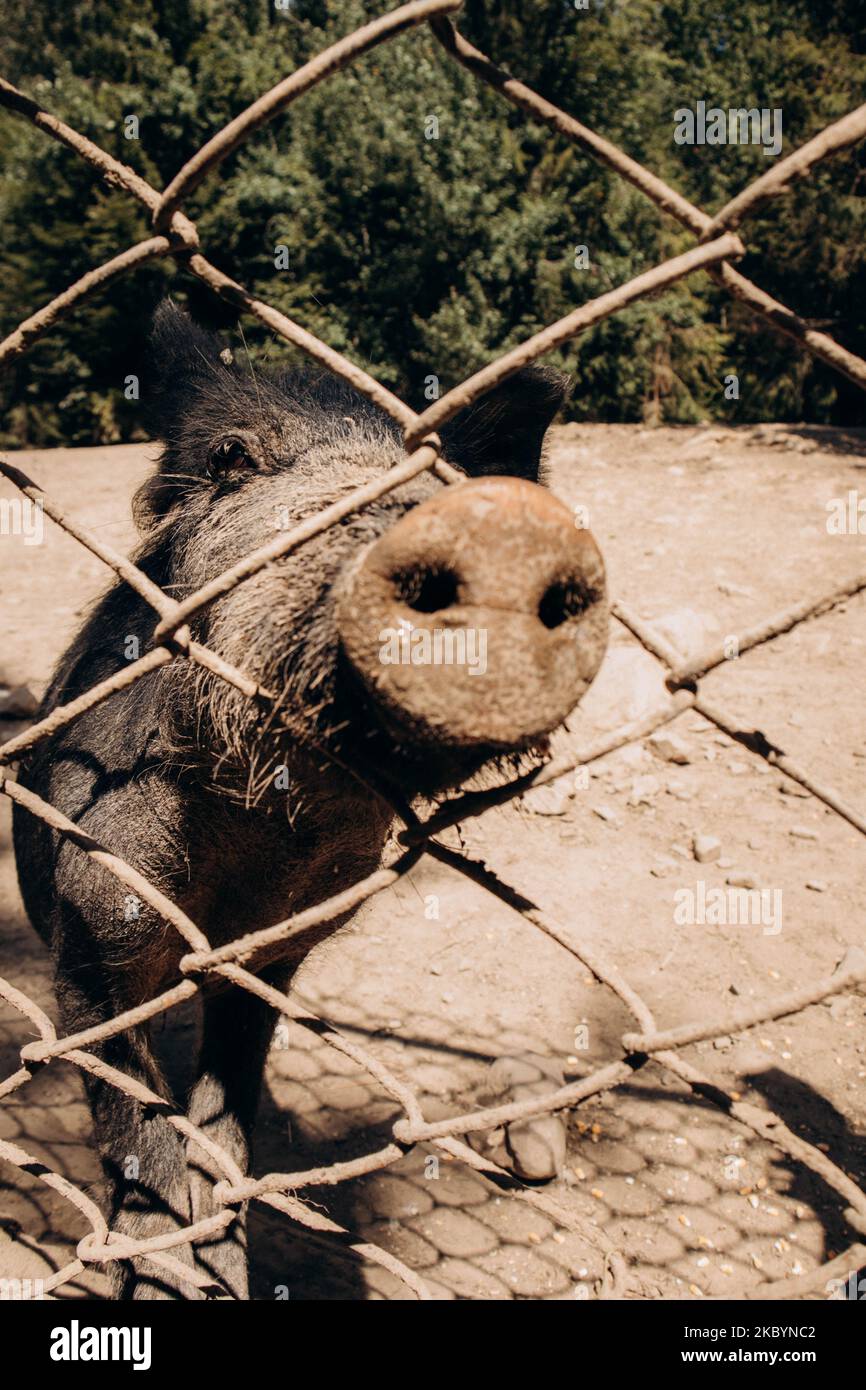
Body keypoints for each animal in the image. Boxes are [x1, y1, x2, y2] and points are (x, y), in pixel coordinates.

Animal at [12, 301, 608, 1299]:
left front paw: (224, 1265)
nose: (481, 530)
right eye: (231, 458)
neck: (247, 838)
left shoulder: (284, 947)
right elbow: (136, 1127)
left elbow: (225, 1121)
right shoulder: (93, 918)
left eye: (447, 474)